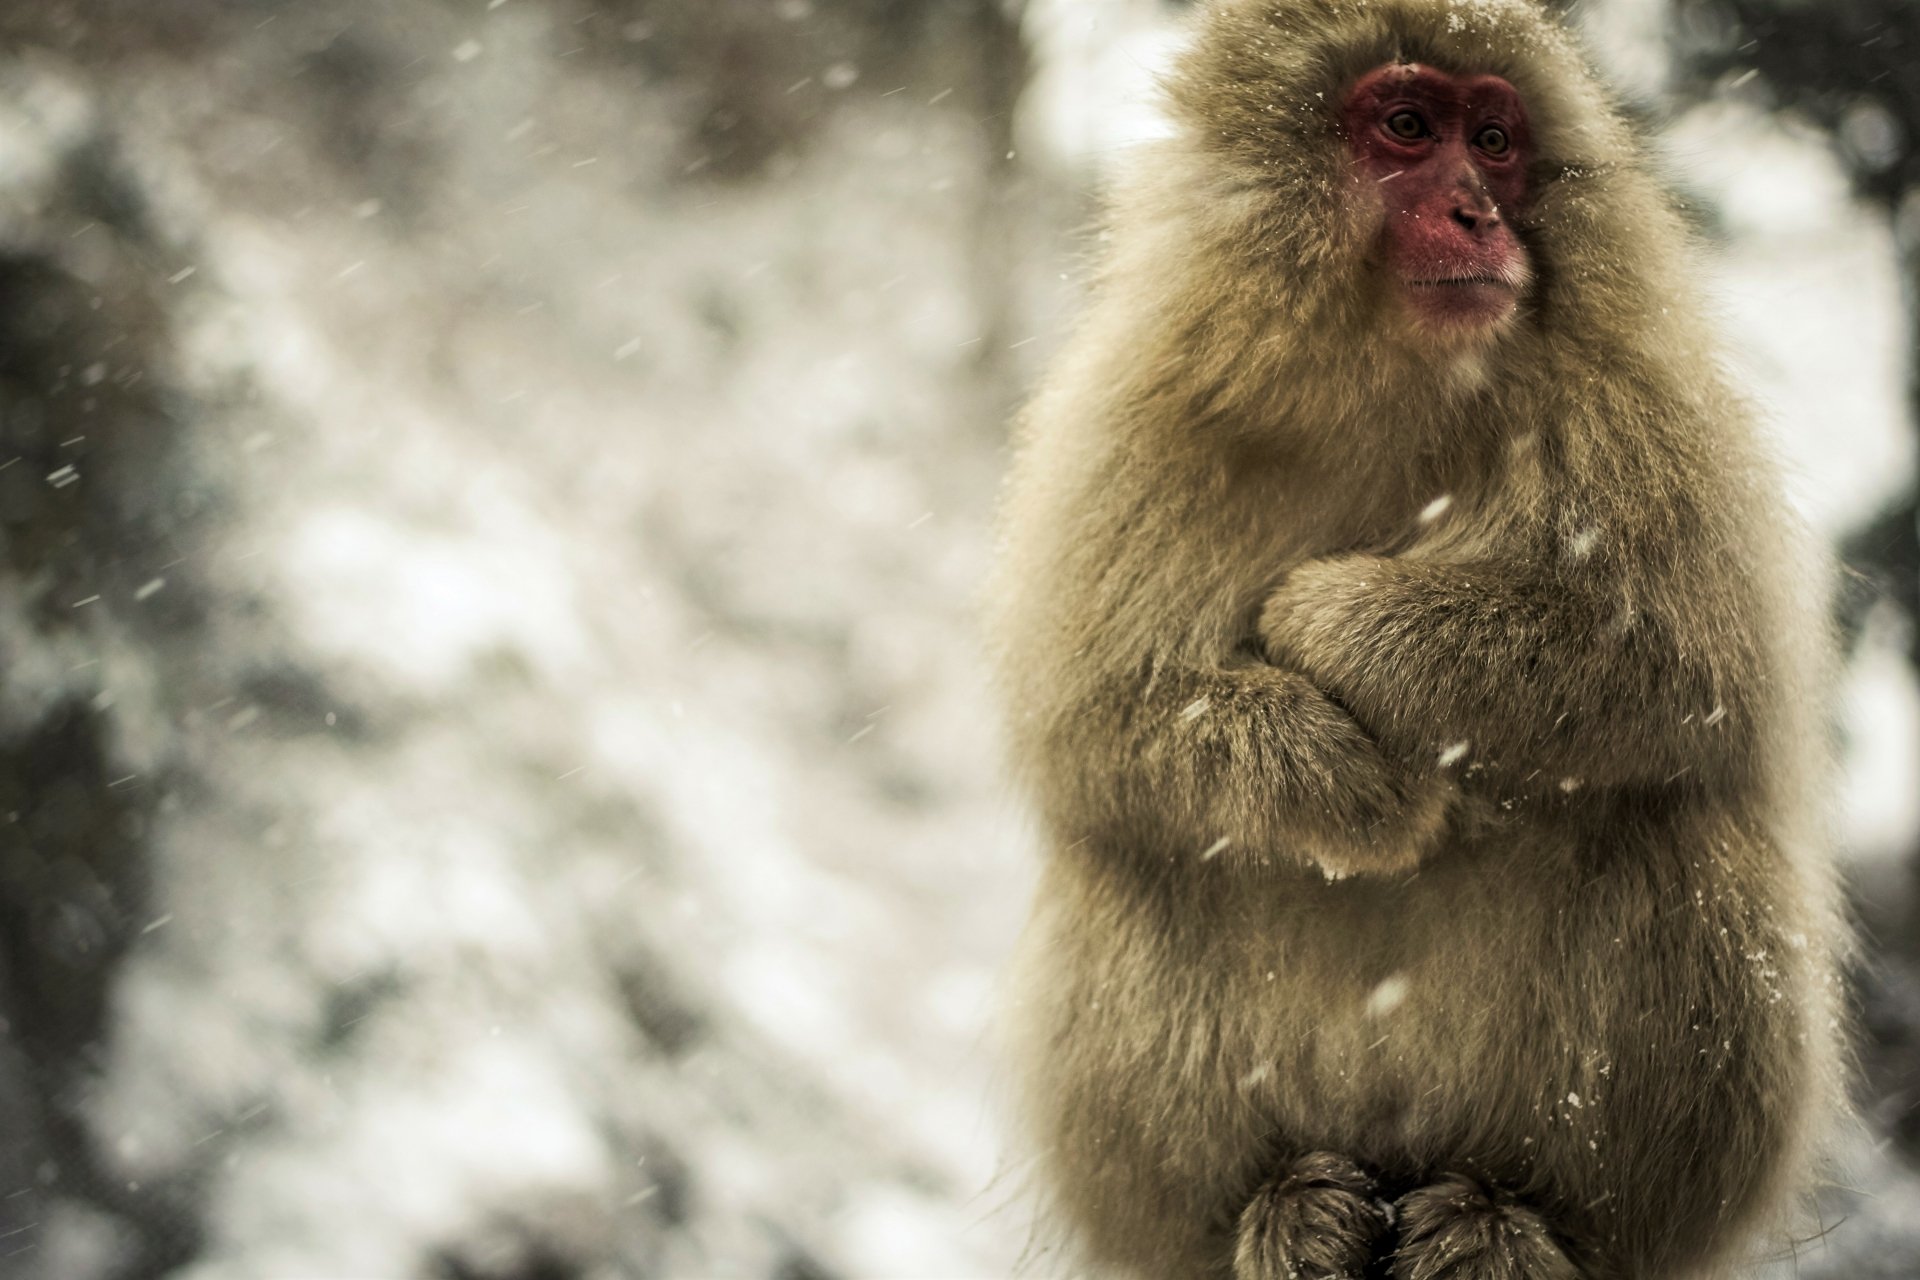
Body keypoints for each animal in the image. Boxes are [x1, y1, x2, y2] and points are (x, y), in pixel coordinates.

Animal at [986, 2, 1849, 1278]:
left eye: (1493, 138)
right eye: (1406, 126)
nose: (1478, 212)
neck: (1389, 382)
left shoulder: (1641, 407)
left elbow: (1694, 673)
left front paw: (1338, 621)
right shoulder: (1133, 417)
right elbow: (1092, 720)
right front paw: (1353, 785)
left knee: (1680, 826)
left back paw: (1516, 1219)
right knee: (1133, 854)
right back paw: (1280, 1207)